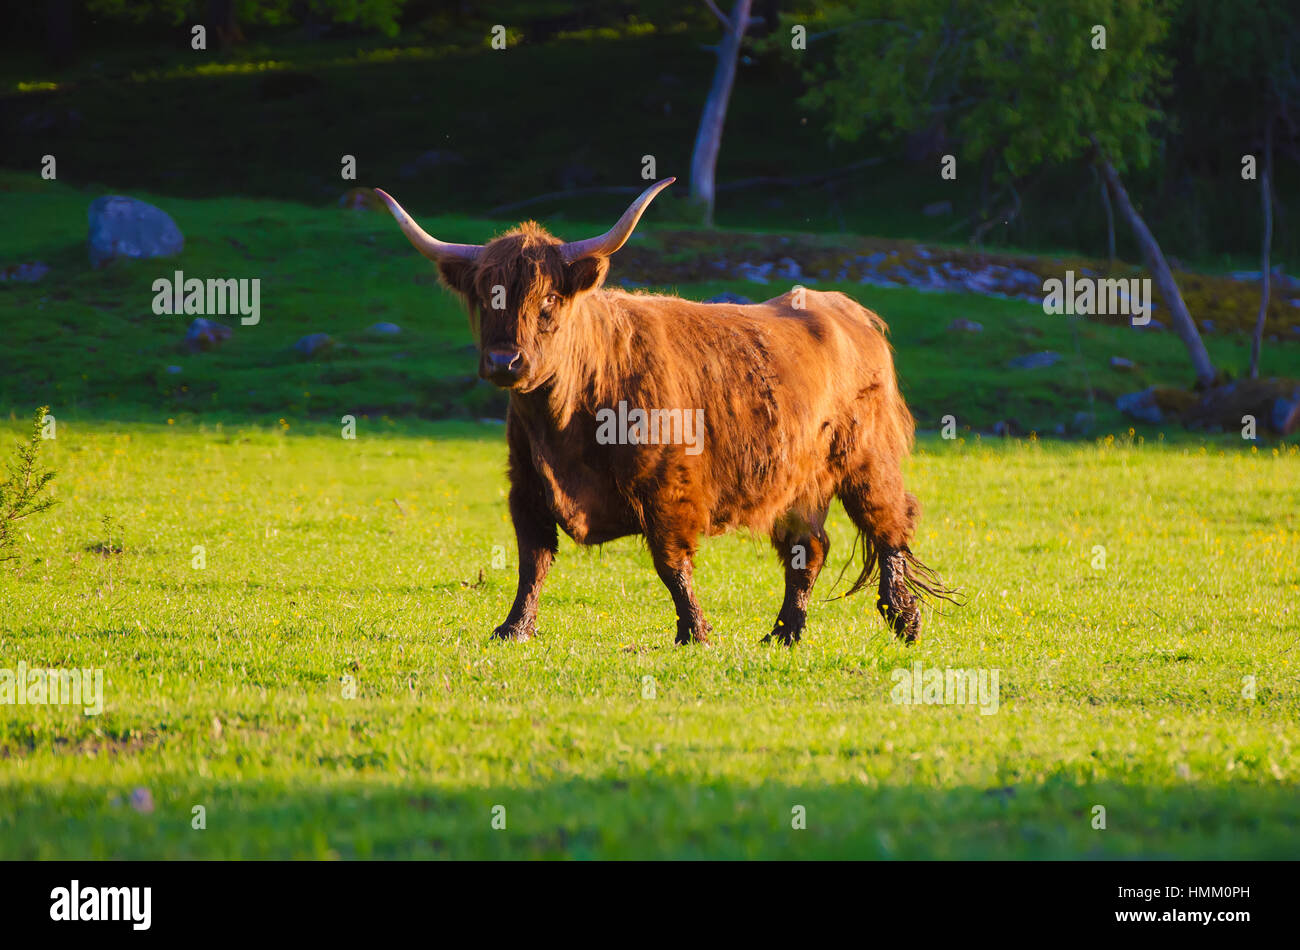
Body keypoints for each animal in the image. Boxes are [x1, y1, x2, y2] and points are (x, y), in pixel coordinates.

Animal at [374, 178, 956, 646]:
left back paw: (905, 620)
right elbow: (532, 560)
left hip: (867, 459)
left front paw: (693, 632)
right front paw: (514, 628)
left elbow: (670, 563)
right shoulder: (528, 486)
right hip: (800, 480)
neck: (564, 427)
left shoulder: (669, 487)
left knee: (890, 526)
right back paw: (784, 633)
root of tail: (844, 308)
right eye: (483, 300)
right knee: (808, 548)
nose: (503, 362)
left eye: (548, 303)